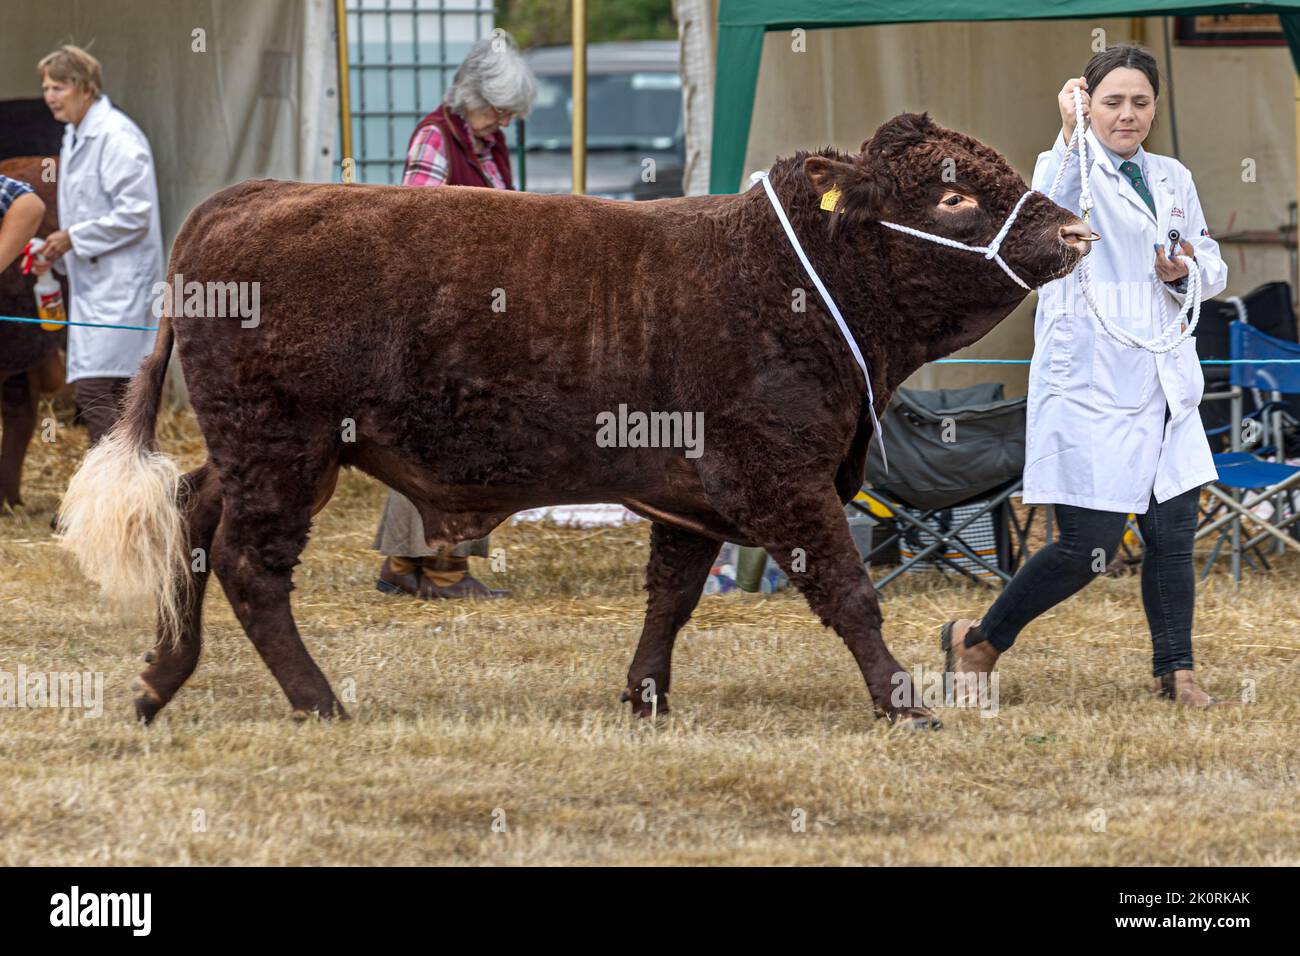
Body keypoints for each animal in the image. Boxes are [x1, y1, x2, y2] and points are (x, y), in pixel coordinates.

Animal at [58, 112, 1091, 729]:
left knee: (190, 518)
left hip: (258, 450)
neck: (783, 277)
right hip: (282, 444)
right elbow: (849, 591)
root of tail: (249, 198)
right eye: (953, 195)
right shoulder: (782, 477)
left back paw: (157, 680)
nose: (1077, 230)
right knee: (247, 563)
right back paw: (315, 702)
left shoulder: (694, 491)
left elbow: (671, 596)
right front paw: (904, 702)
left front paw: (646, 696)